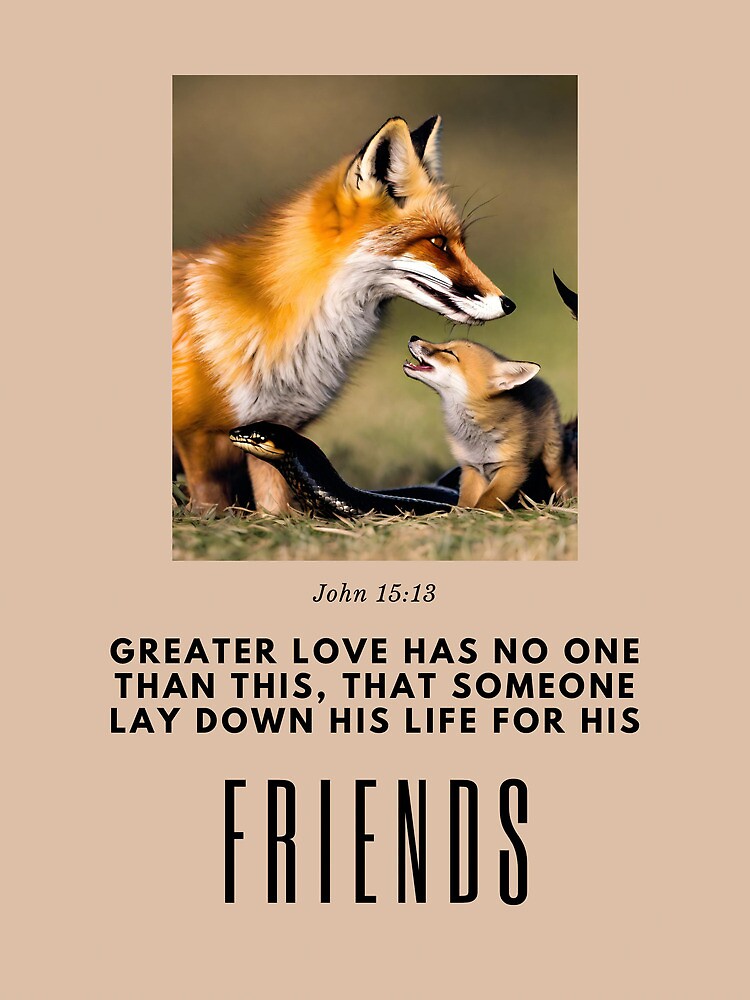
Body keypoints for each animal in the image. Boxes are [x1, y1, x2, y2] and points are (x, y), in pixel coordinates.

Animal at [173, 115, 515, 512]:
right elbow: (212, 504)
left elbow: (275, 506)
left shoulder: (275, 430)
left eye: (458, 243)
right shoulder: (198, 436)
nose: (508, 303)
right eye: (437, 243)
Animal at [403, 337, 571, 510]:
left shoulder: (513, 468)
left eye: (449, 352)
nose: (413, 337)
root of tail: (539, 381)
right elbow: (466, 502)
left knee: (560, 481)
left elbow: (486, 499)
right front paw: (461, 514)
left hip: (551, 458)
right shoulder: (471, 468)